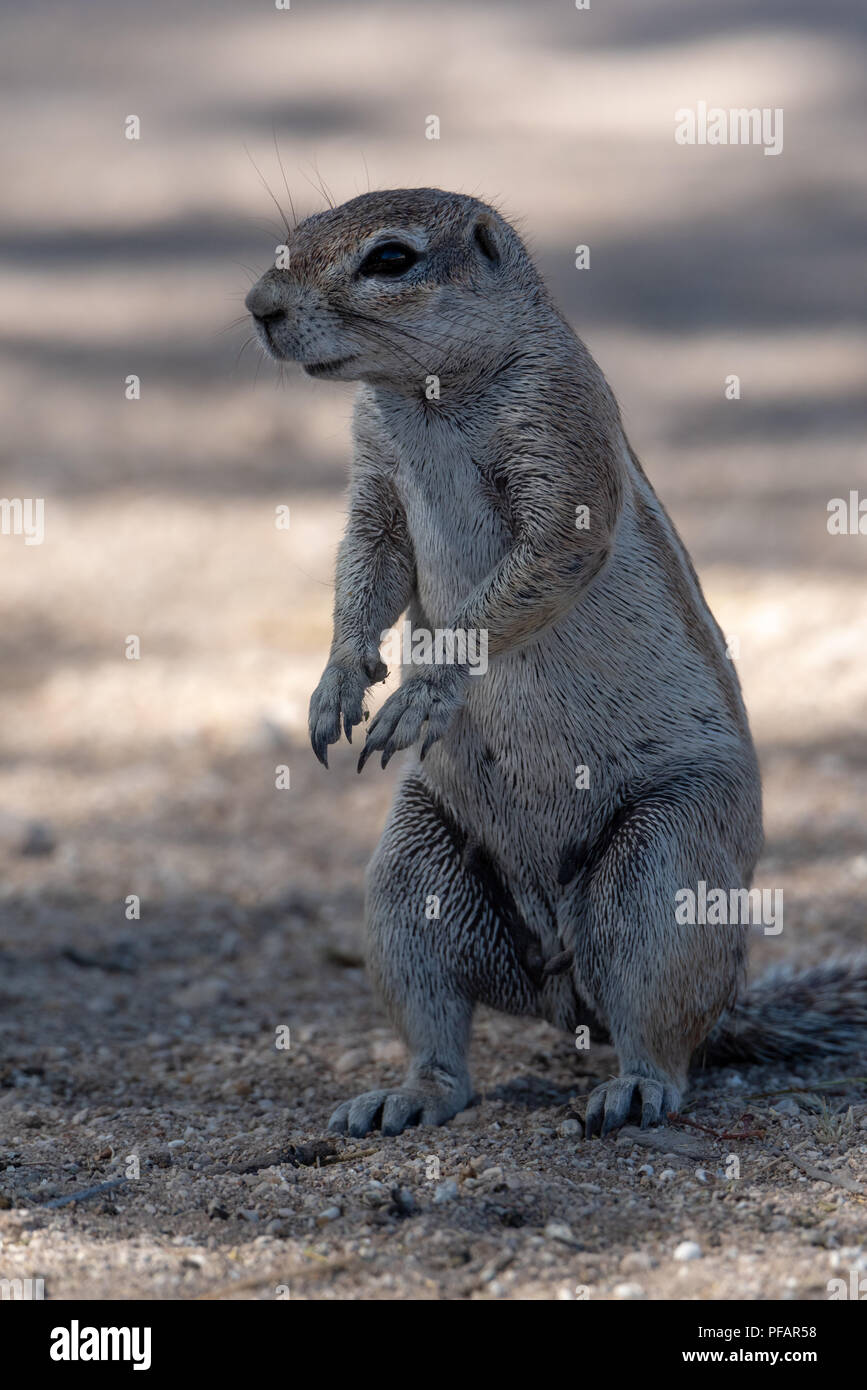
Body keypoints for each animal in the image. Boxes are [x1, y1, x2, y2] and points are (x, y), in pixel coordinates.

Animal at [246, 188, 867, 1138]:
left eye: (389, 259)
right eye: (302, 228)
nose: (258, 307)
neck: (424, 399)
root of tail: (563, 988)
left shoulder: (559, 434)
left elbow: (540, 567)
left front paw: (425, 689)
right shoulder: (375, 477)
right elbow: (365, 567)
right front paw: (337, 683)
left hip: (662, 867)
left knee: (661, 1026)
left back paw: (635, 1088)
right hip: (411, 877)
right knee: (440, 1031)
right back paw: (406, 1095)